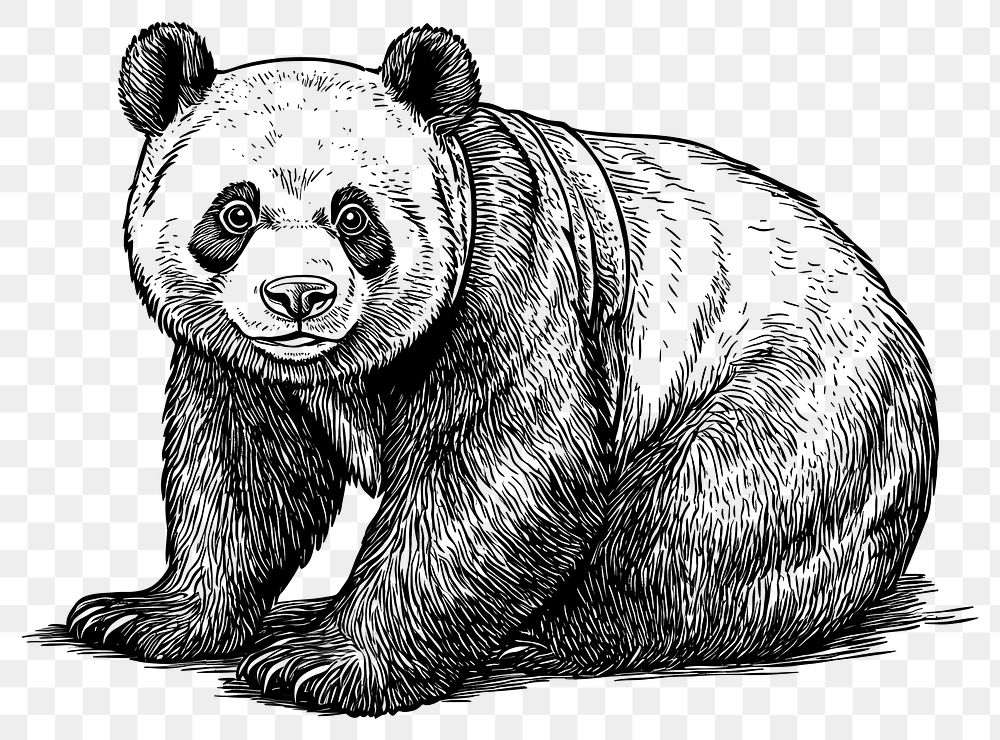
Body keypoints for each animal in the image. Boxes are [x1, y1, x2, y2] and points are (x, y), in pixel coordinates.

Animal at [67, 22, 937, 716]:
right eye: (235, 211)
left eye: (353, 217)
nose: (299, 297)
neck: (340, 362)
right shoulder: (242, 358)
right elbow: (240, 472)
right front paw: (145, 616)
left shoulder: (512, 269)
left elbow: (497, 472)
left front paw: (319, 665)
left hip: (803, 404)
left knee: (692, 518)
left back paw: (556, 635)